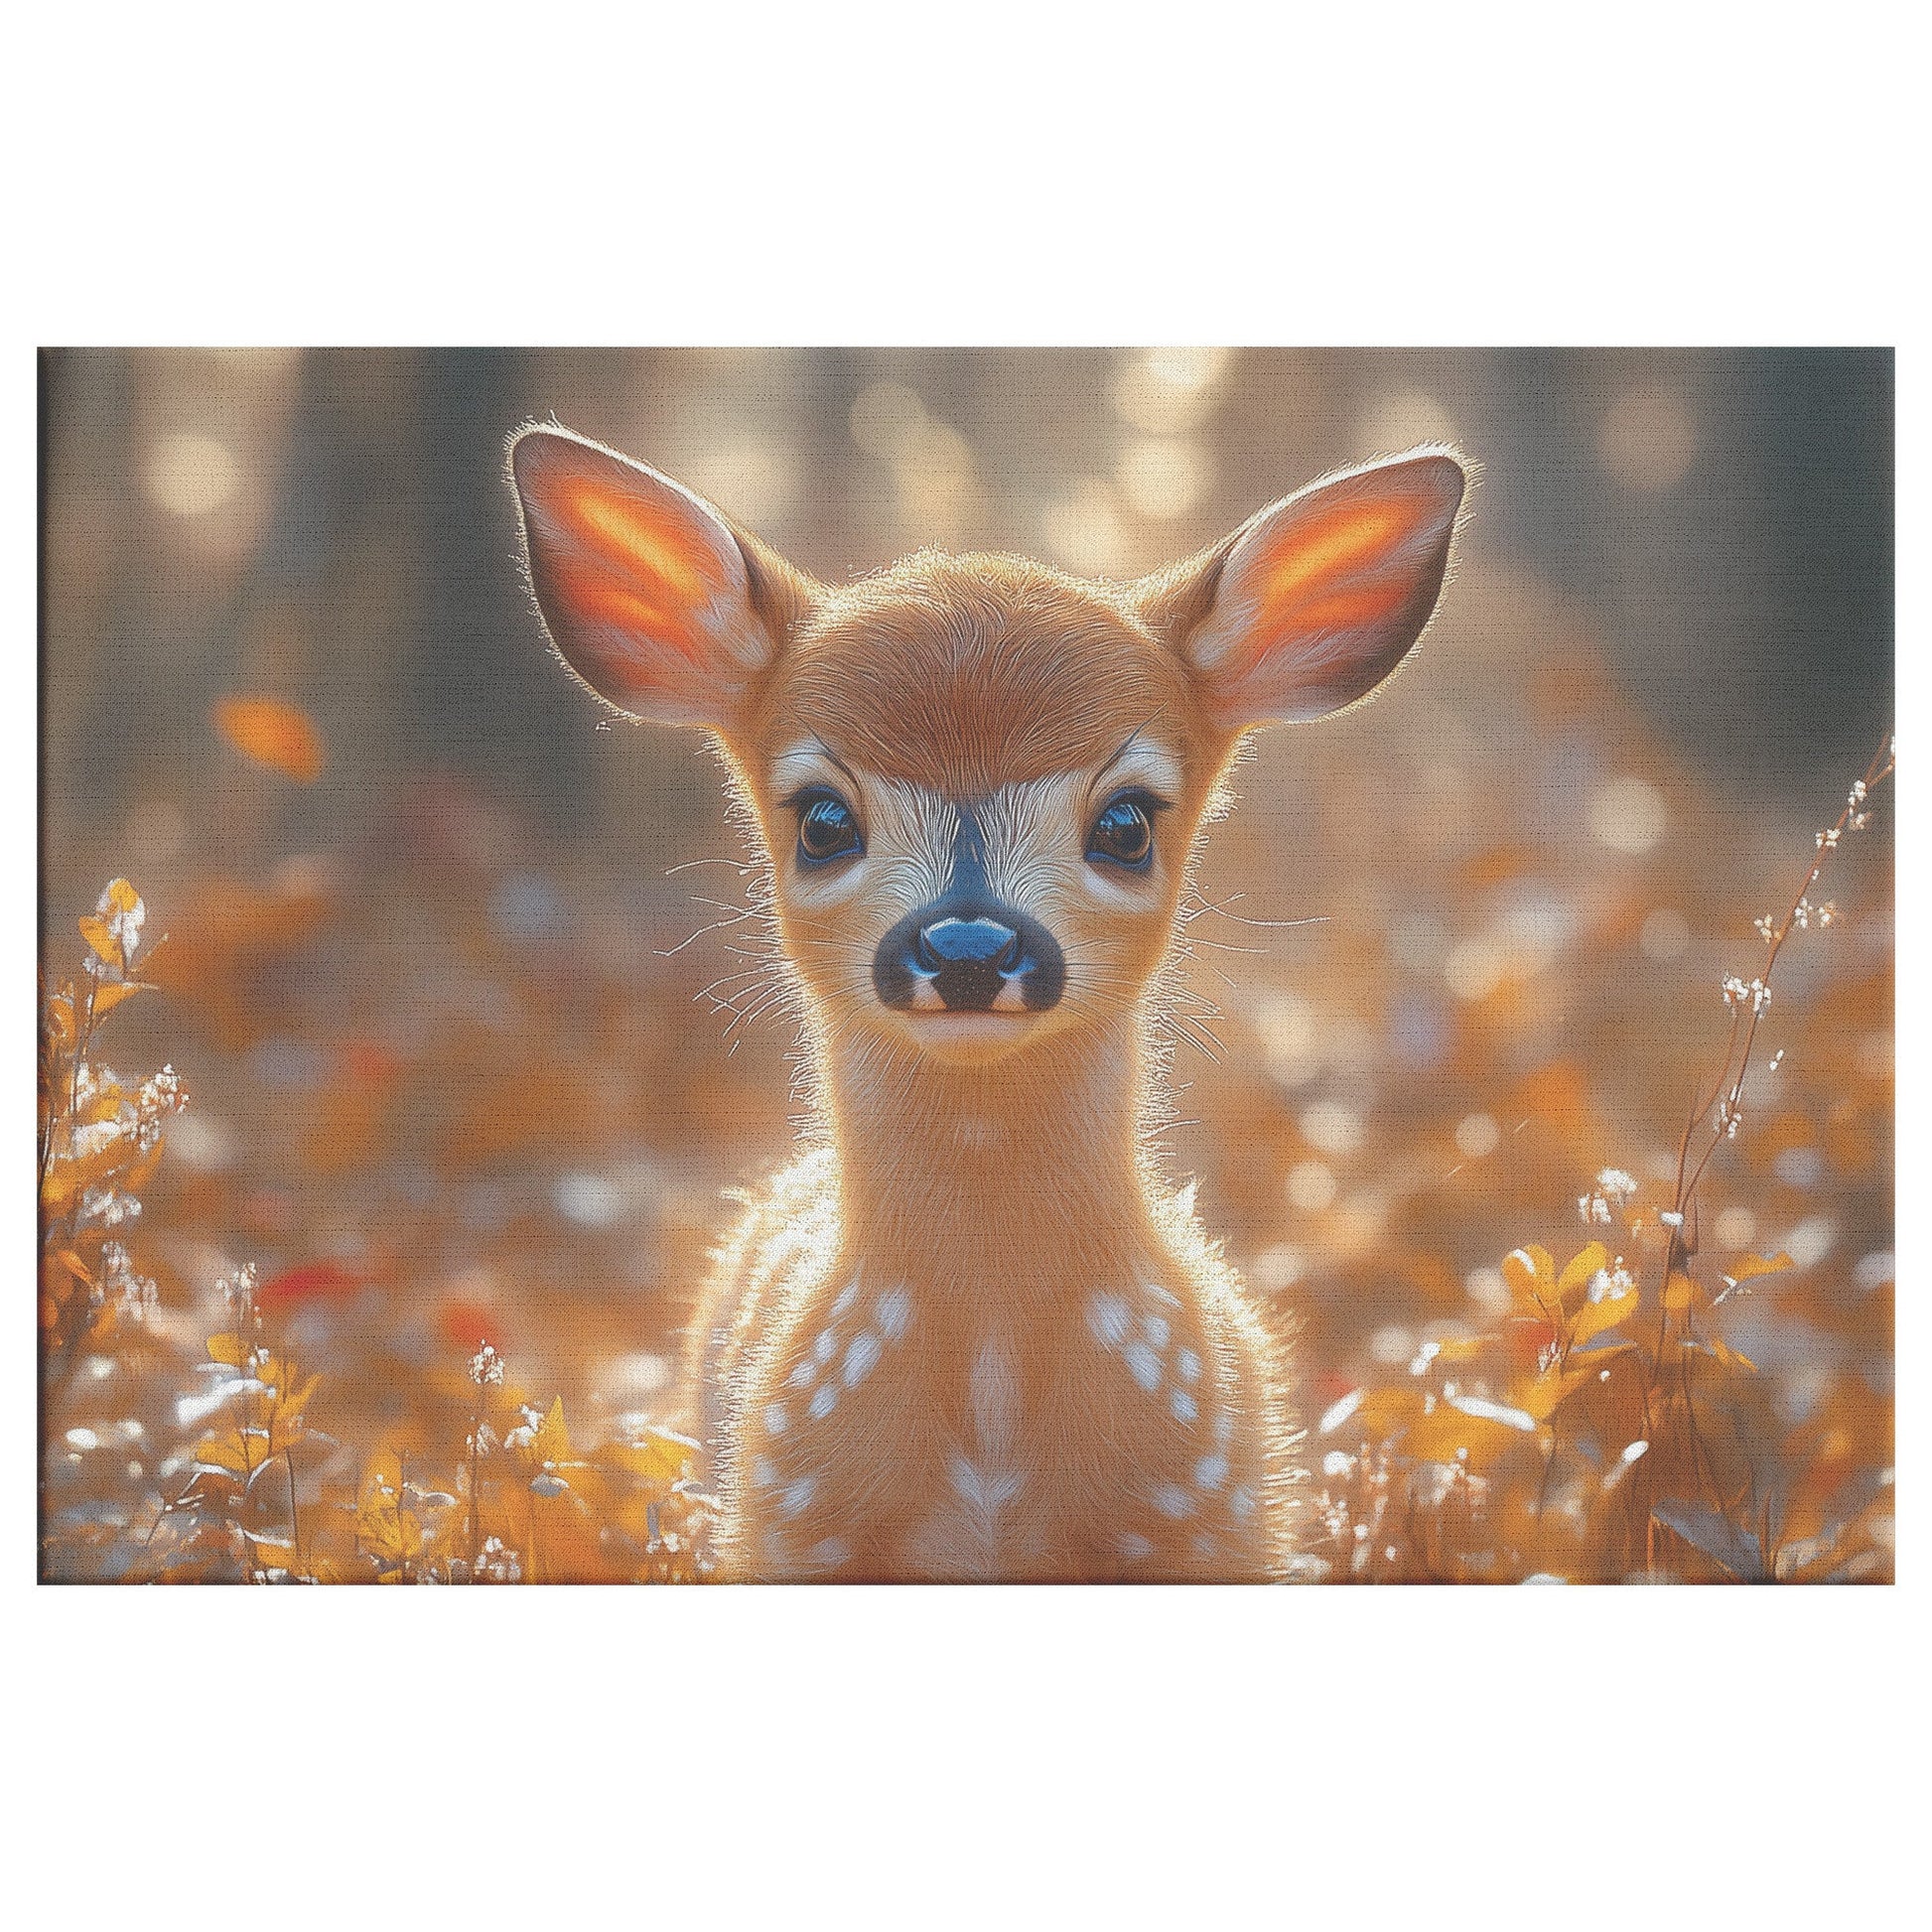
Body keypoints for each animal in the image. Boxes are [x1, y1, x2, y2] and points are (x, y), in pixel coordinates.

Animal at [508, 422, 1466, 1581]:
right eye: (821, 817)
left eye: (1127, 821)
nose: (967, 945)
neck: (991, 1383)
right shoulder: (797, 1527)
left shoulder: (1208, 1518)